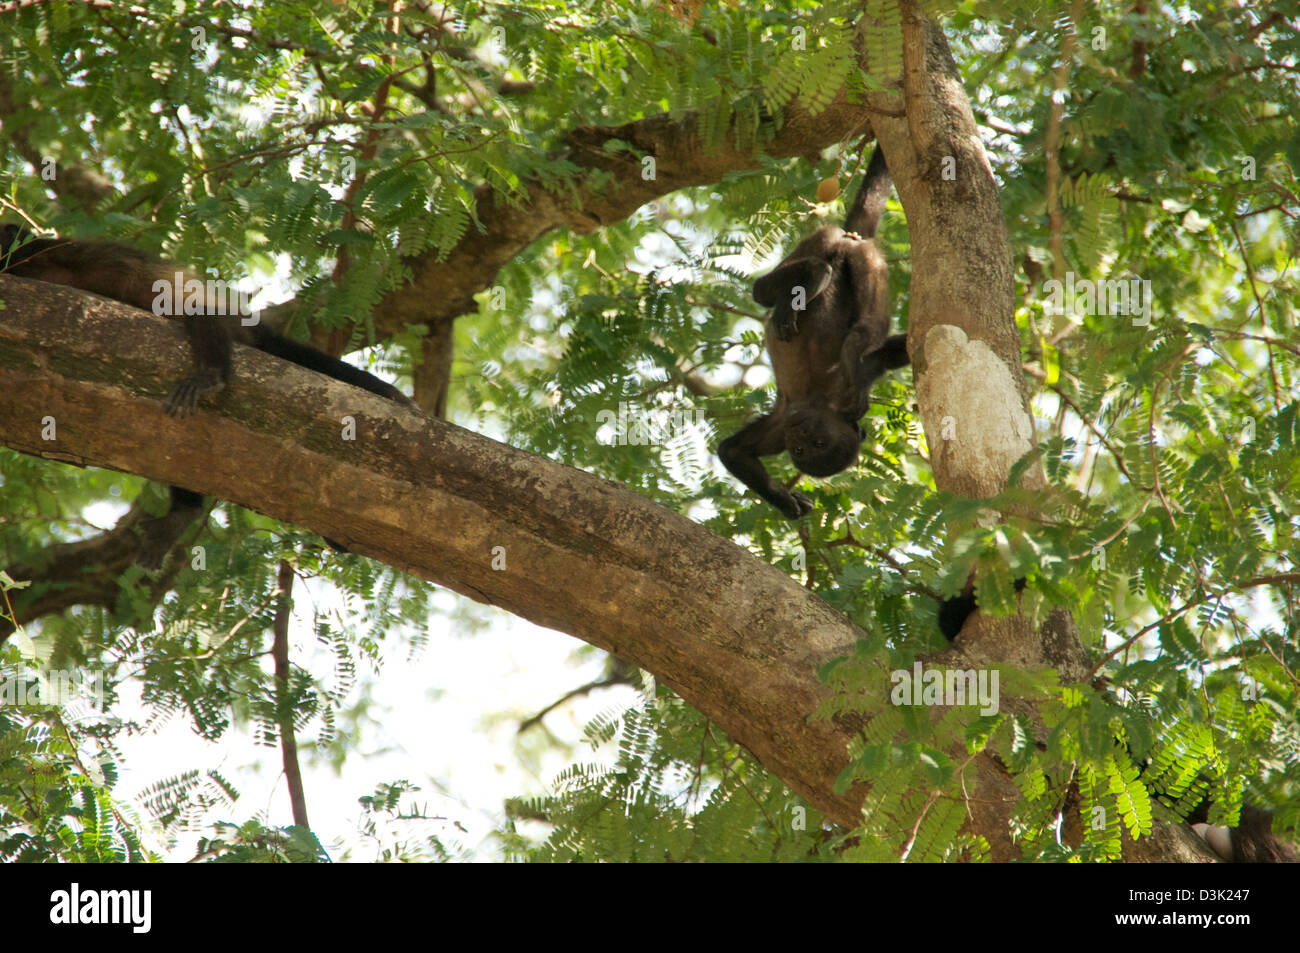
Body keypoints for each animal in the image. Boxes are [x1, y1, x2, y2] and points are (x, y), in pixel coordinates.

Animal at [718, 146, 909, 521]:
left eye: (811, 448)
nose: (800, 439)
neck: (823, 404)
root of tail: (852, 242)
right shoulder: (808, 414)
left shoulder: (781, 426)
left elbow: (733, 452)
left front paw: (787, 501)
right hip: (857, 253)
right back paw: (815, 277)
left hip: (857, 255)